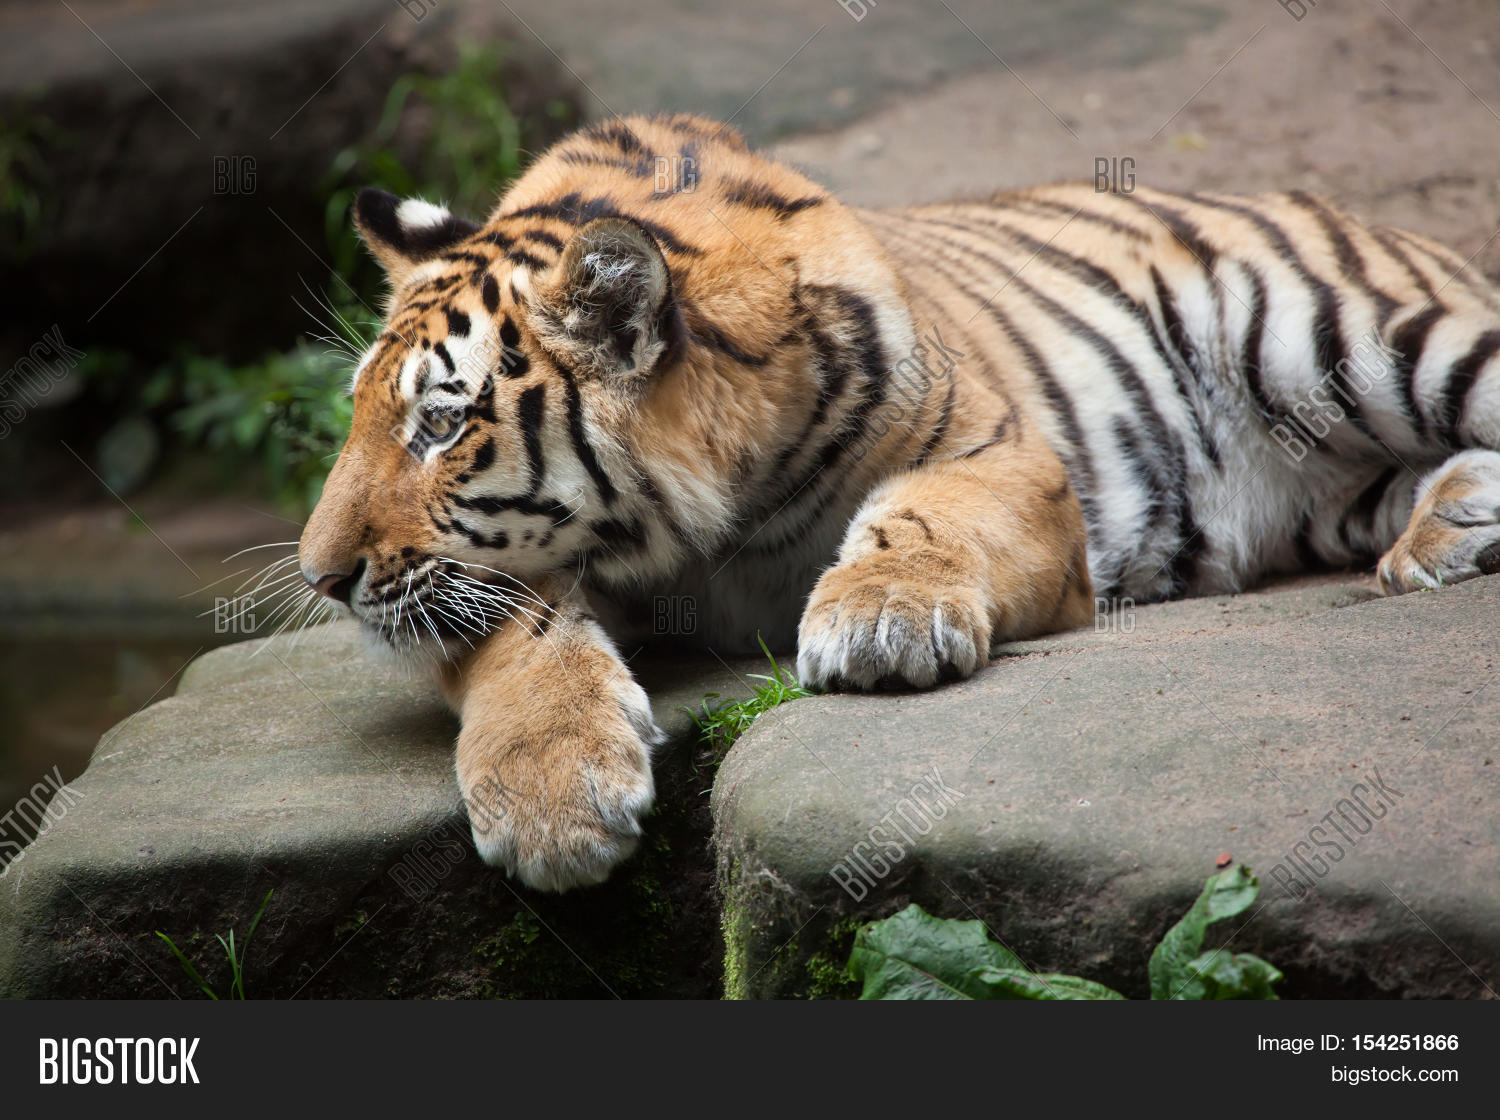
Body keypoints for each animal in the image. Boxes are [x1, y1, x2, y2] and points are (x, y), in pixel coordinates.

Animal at [298, 111, 1500, 891]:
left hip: (1350, 335)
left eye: (440, 425)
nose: (321, 577)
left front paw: (882, 622)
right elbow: (512, 633)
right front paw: (553, 795)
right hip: (1324, 485)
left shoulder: (1002, 451)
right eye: (360, 416)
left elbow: (925, 516)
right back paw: (1445, 531)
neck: (706, 537)